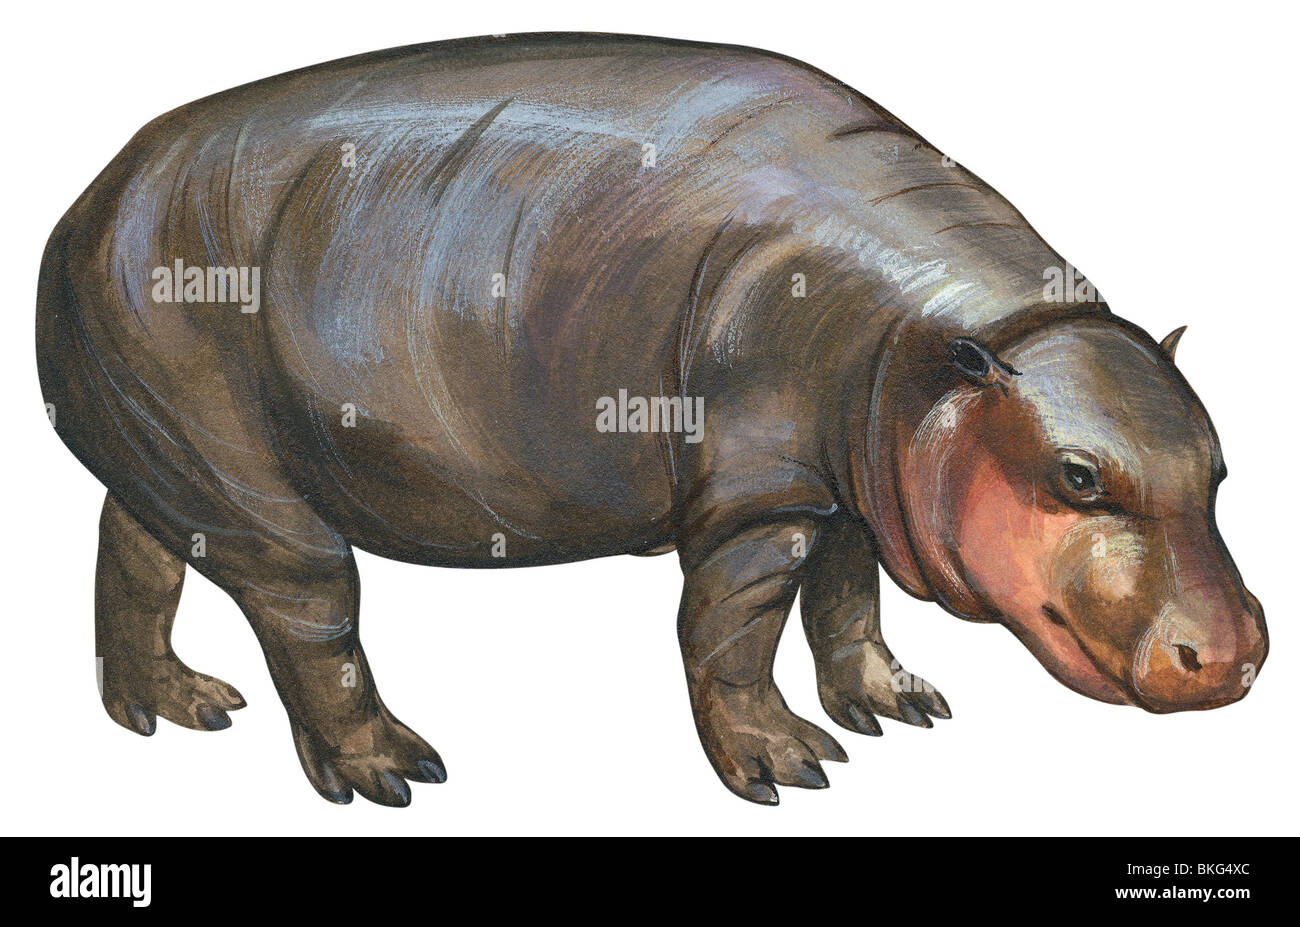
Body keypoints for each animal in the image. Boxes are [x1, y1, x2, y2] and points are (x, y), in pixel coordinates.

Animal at [36, 33, 1267, 806]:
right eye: (1076, 476)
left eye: (1219, 468)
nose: (1237, 654)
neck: (951, 346)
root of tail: (83, 205)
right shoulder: (760, 498)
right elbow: (732, 631)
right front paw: (791, 767)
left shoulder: (849, 484)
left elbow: (848, 600)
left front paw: (900, 704)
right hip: (241, 471)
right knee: (309, 614)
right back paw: (394, 771)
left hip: (165, 451)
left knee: (135, 551)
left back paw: (173, 707)